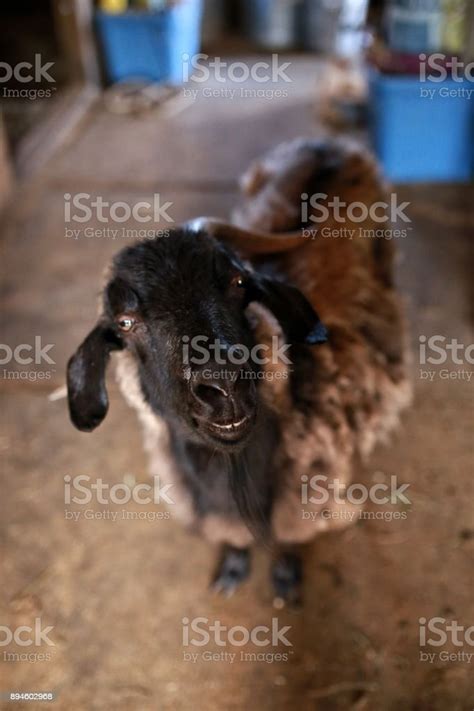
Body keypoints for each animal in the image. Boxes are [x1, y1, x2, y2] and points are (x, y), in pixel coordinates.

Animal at [67, 137, 411, 604]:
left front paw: (284, 578)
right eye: (124, 322)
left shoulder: (300, 494)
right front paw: (231, 569)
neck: (234, 473)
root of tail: (329, 144)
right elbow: (233, 539)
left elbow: (287, 538)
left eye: (239, 283)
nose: (223, 384)